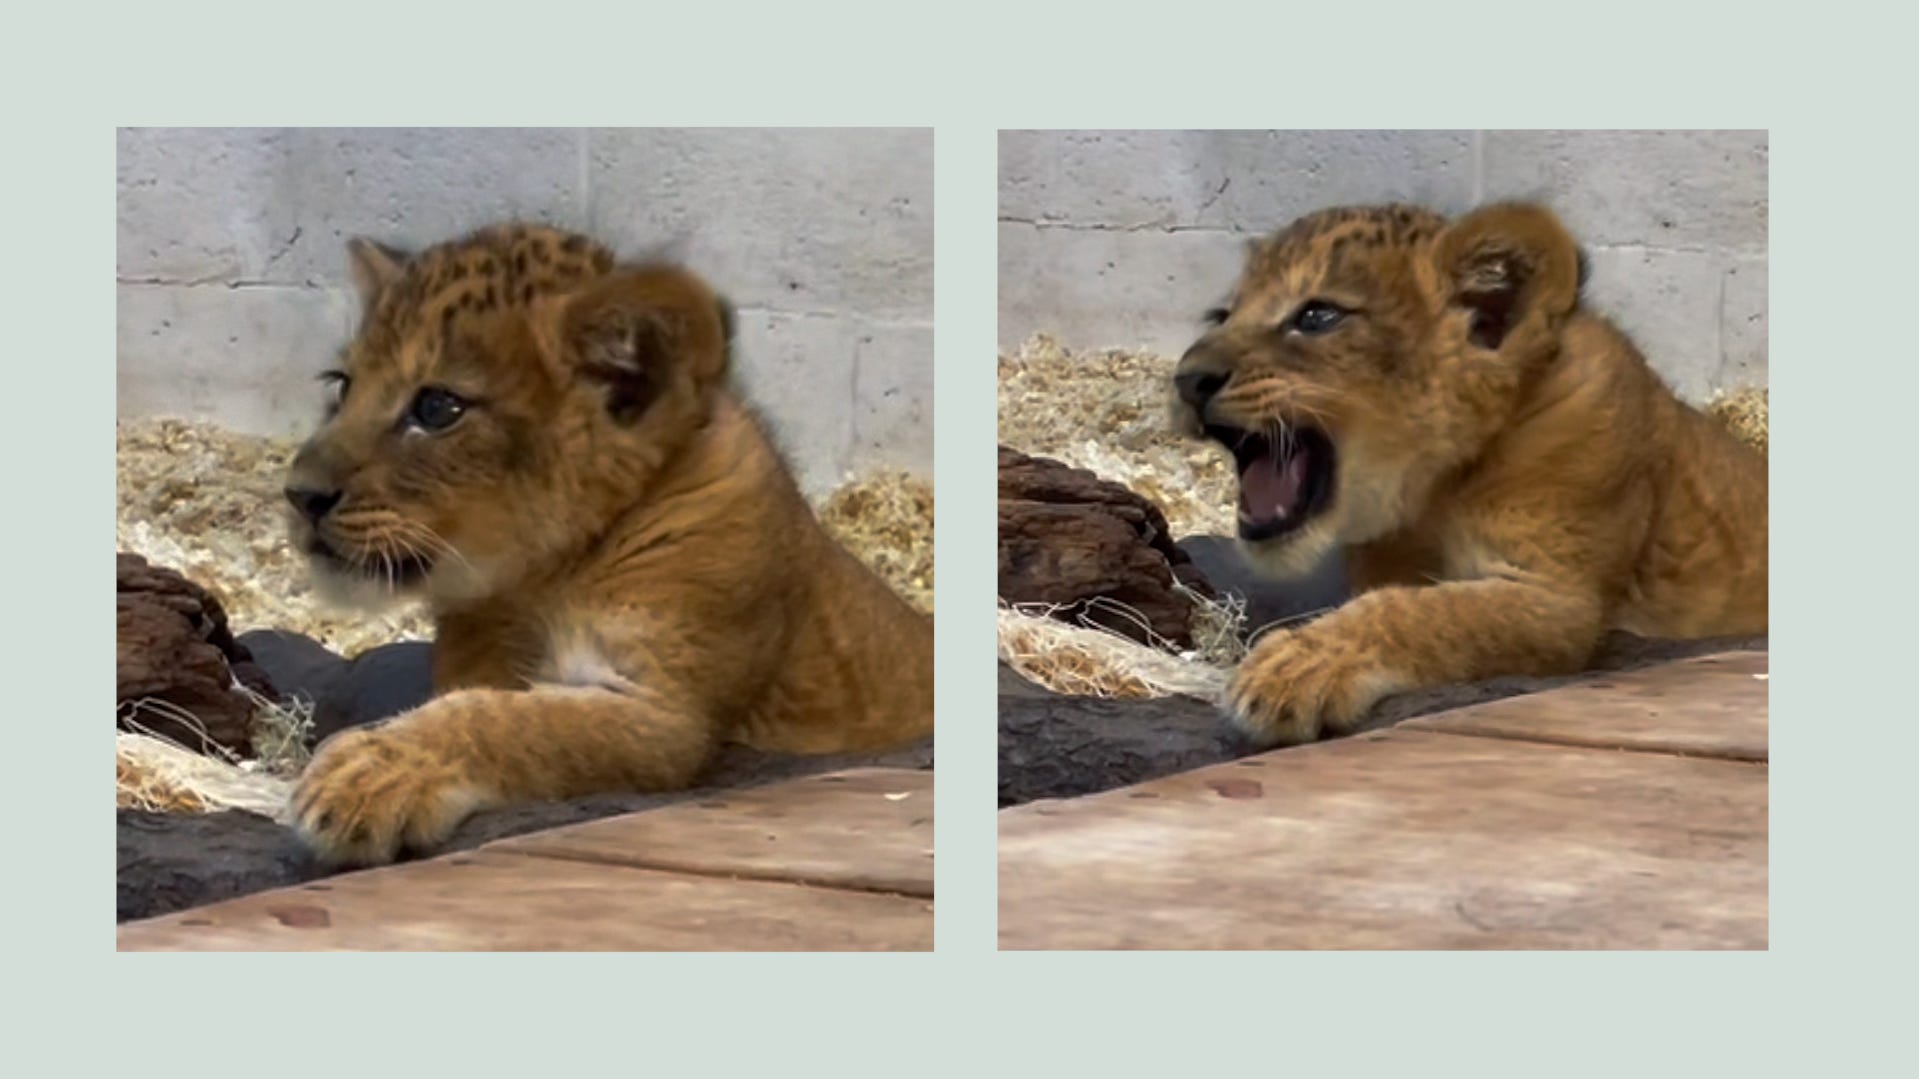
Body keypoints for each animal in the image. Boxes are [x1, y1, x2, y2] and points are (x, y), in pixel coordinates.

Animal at [282, 224, 933, 865]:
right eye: (342, 387)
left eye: (438, 407)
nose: (299, 495)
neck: (536, 586)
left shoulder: (667, 715)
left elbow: (508, 719)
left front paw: (364, 774)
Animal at [1172, 202, 1767, 749]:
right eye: (1221, 316)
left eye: (1318, 316)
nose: (1186, 379)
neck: (1433, 494)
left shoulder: (1560, 598)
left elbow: (1425, 610)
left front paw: (1293, 668)